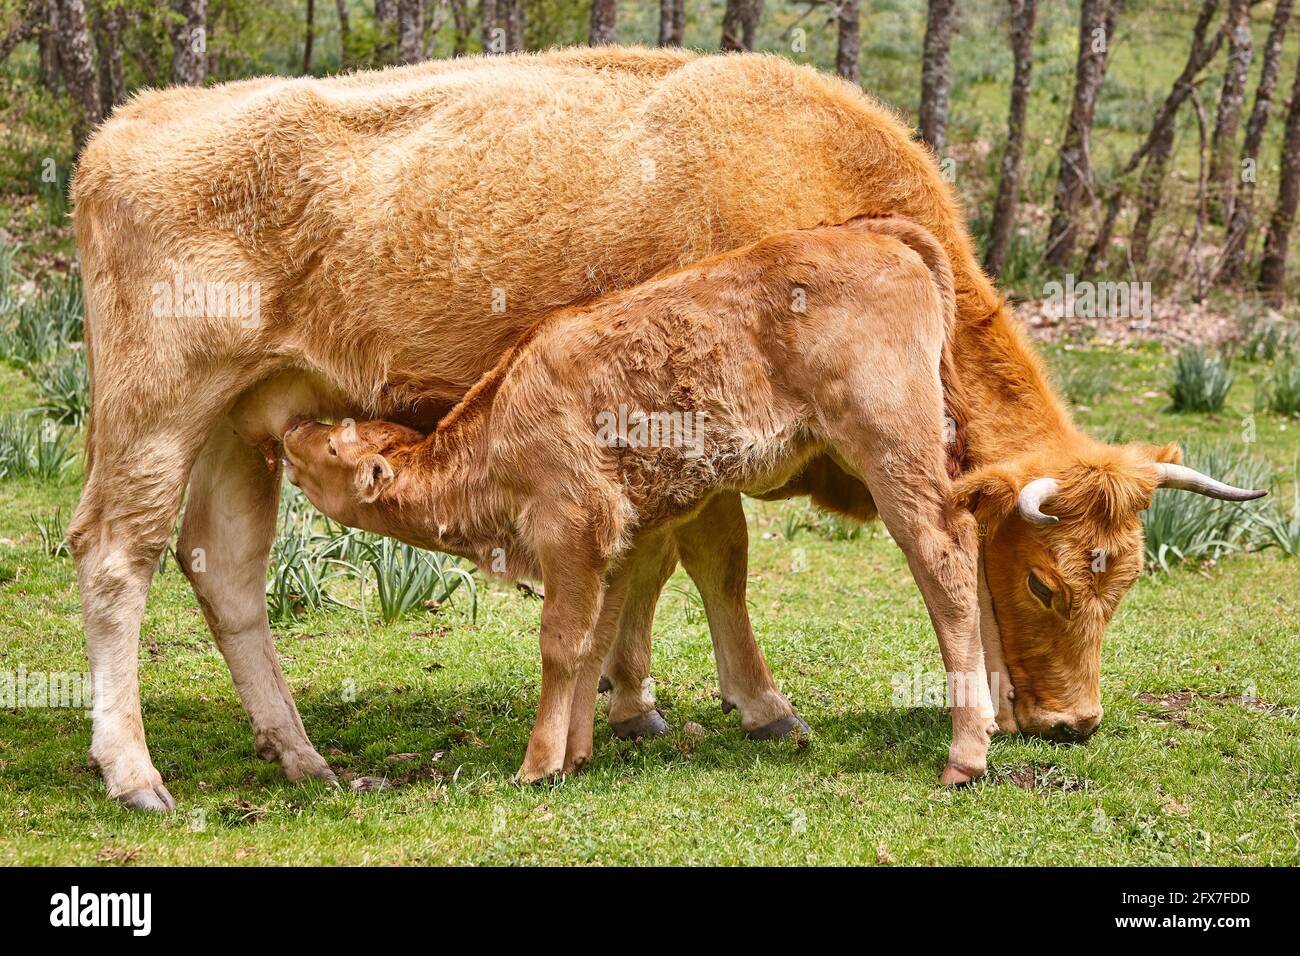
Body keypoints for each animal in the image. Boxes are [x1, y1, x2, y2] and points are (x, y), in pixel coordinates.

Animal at [68, 47, 1263, 810]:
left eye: (1125, 581)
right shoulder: (710, 445)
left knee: (225, 569)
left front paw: (625, 699)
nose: (1073, 723)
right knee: (117, 556)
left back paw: (307, 762)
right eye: (1046, 584)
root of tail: (125, 130)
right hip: (156, 415)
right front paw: (760, 707)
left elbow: (641, 566)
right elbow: (714, 561)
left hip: (247, 425)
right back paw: (139, 778)